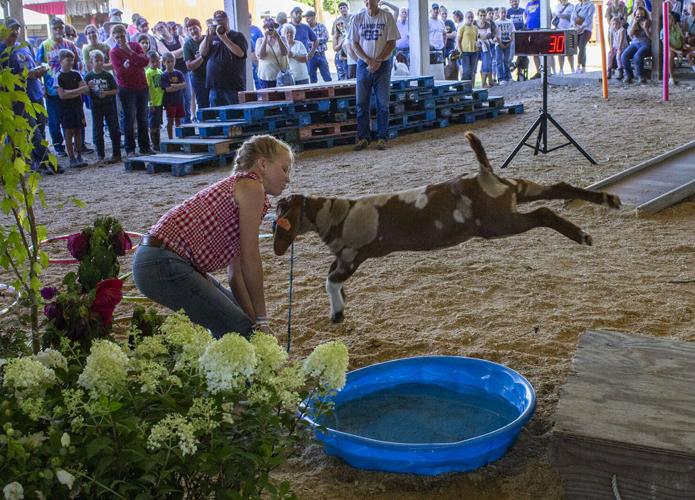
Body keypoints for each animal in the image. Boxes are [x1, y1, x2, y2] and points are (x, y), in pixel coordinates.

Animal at [273, 132, 621, 323]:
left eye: (279, 220)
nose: (277, 250)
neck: (336, 212)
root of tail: (485, 175)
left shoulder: (351, 256)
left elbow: (329, 281)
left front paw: (336, 313)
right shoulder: (342, 259)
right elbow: (332, 279)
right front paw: (343, 306)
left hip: (499, 222)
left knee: (545, 213)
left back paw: (582, 235)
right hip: (518, 191)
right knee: (558, 188)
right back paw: (608, 200)